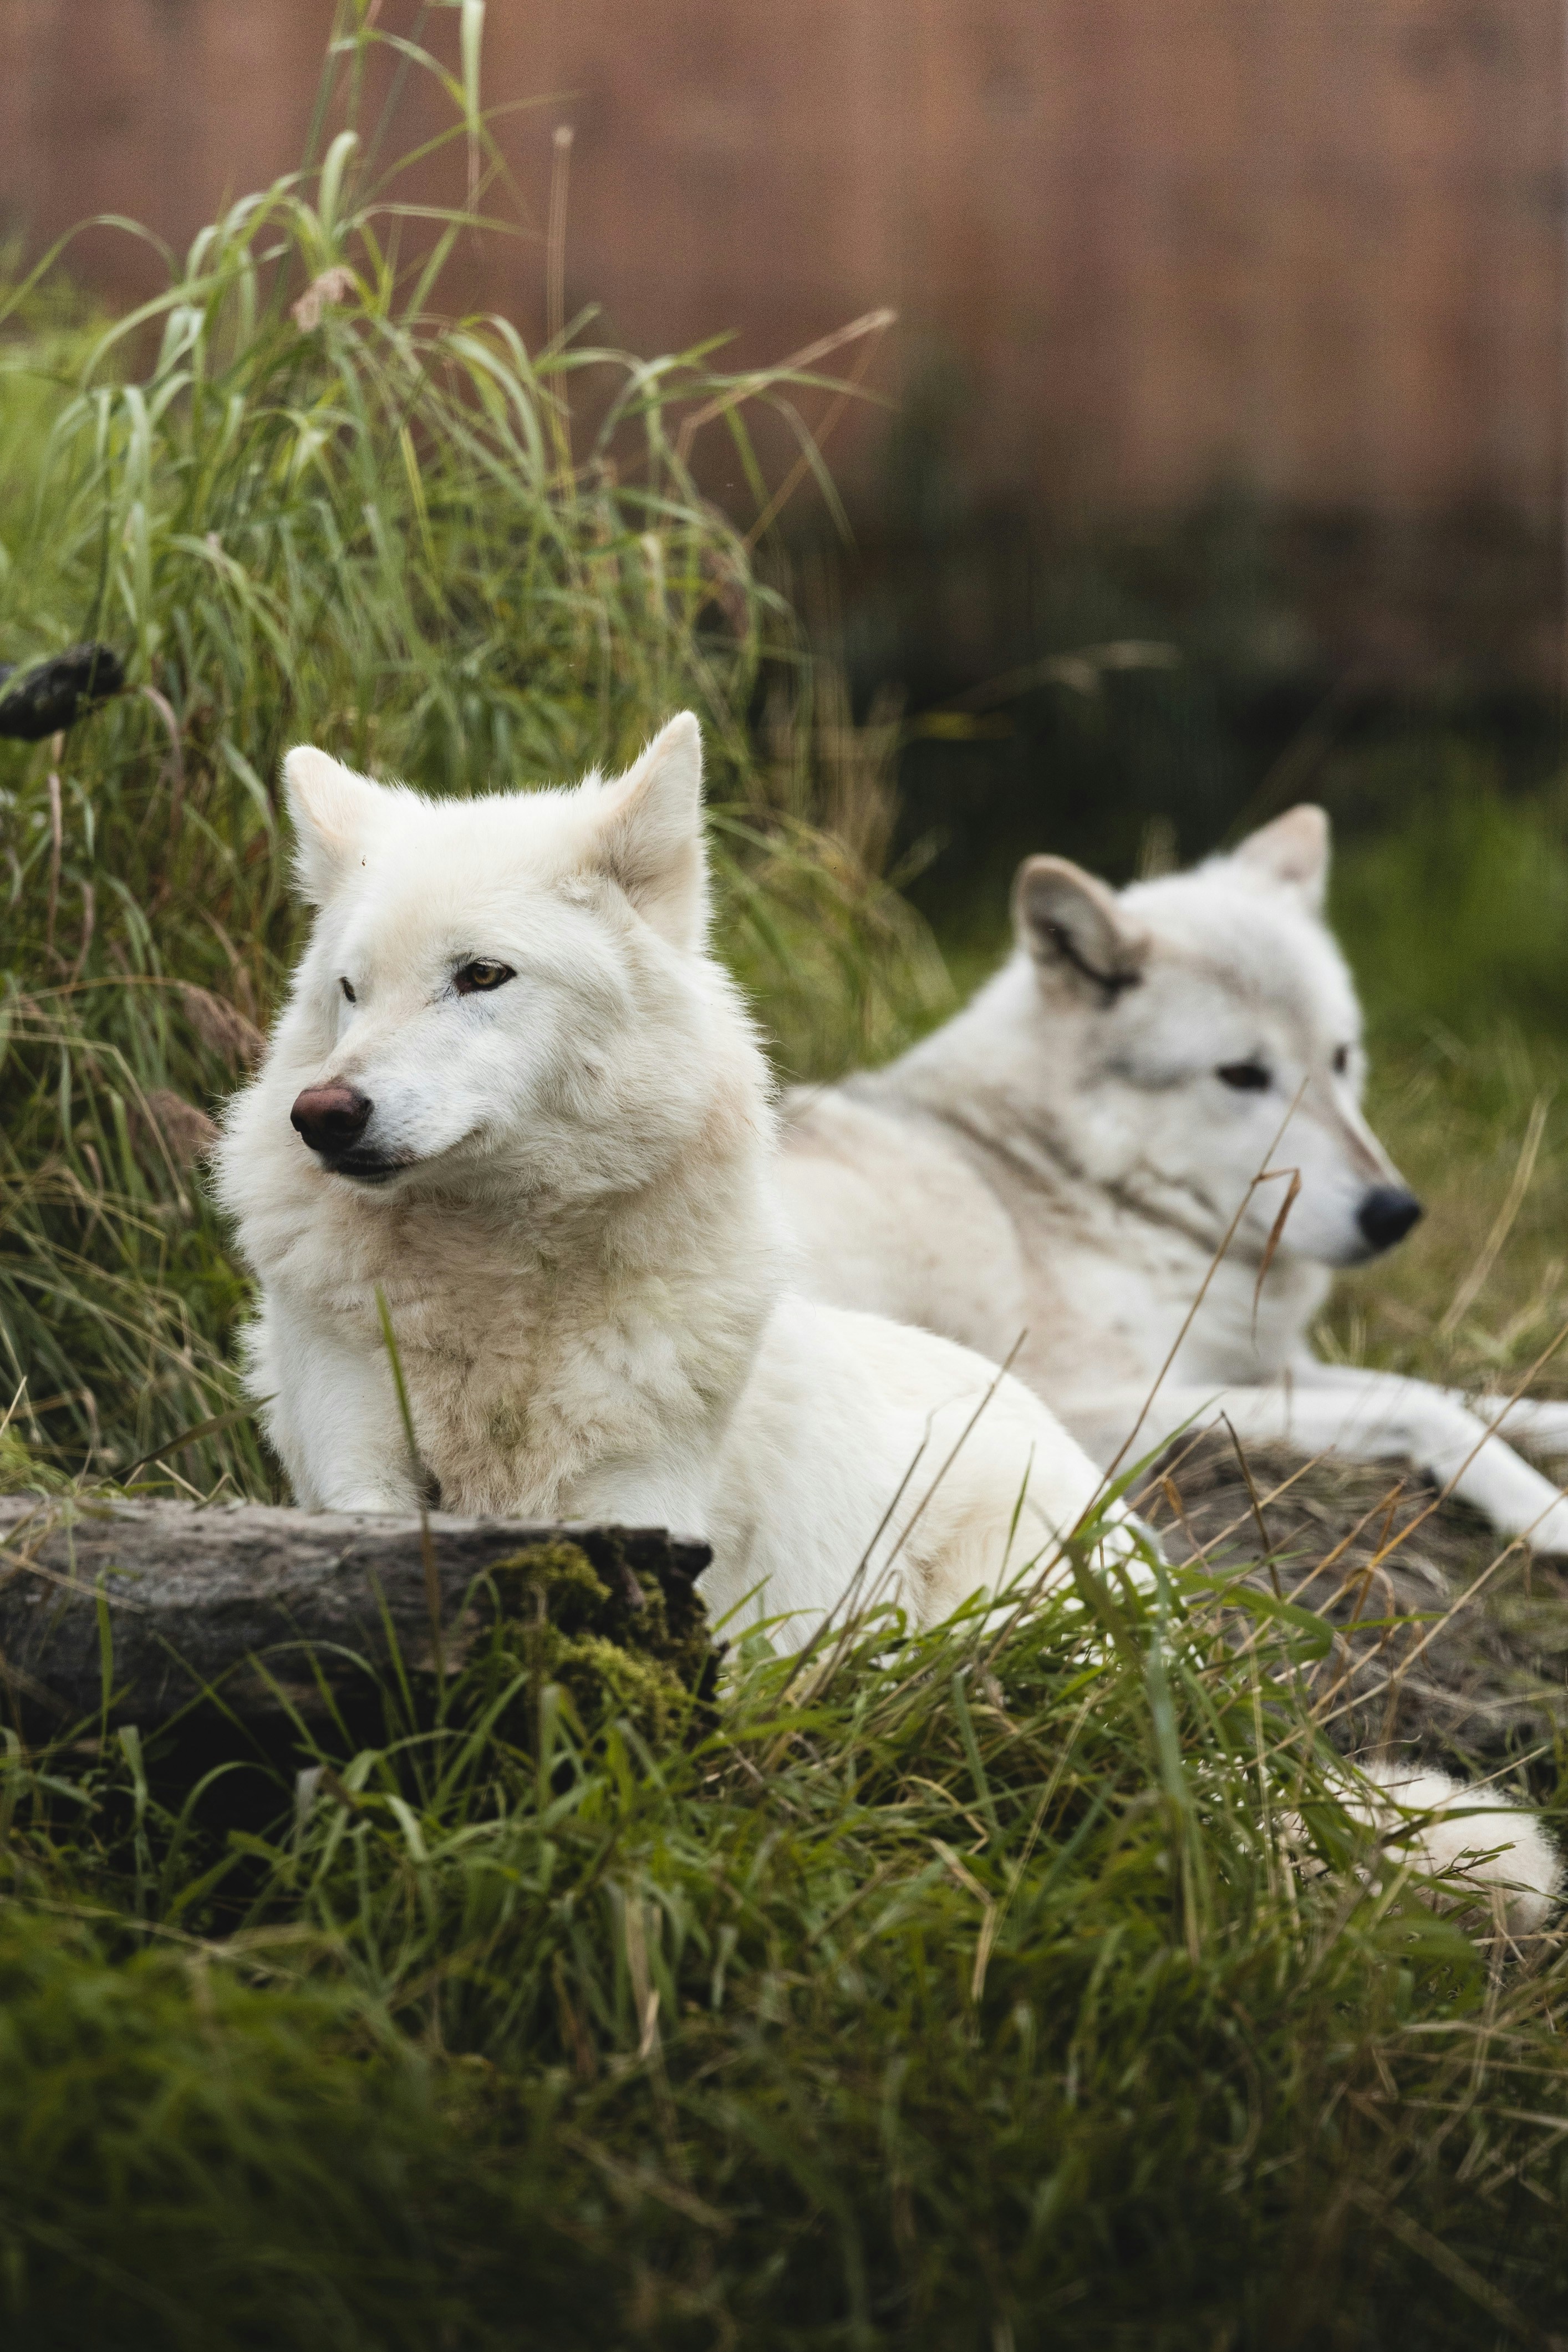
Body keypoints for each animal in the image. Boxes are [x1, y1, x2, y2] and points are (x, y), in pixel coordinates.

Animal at [214, 714, 1138, 1645]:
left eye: (480, 973)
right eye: (351, 989)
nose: (322, 1114)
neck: (497, 1272)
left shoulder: (637, 1504)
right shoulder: (358, 1466)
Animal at [779, 806, 1568, 1555]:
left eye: (1340, 1058)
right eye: (1241, 1075)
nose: (1394, 1213)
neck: (1086, 1181)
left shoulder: (1261, 1363)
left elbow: (1451, 1394)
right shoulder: (1114, 1403)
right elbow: (1422, 1407)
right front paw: (1547, 1512)